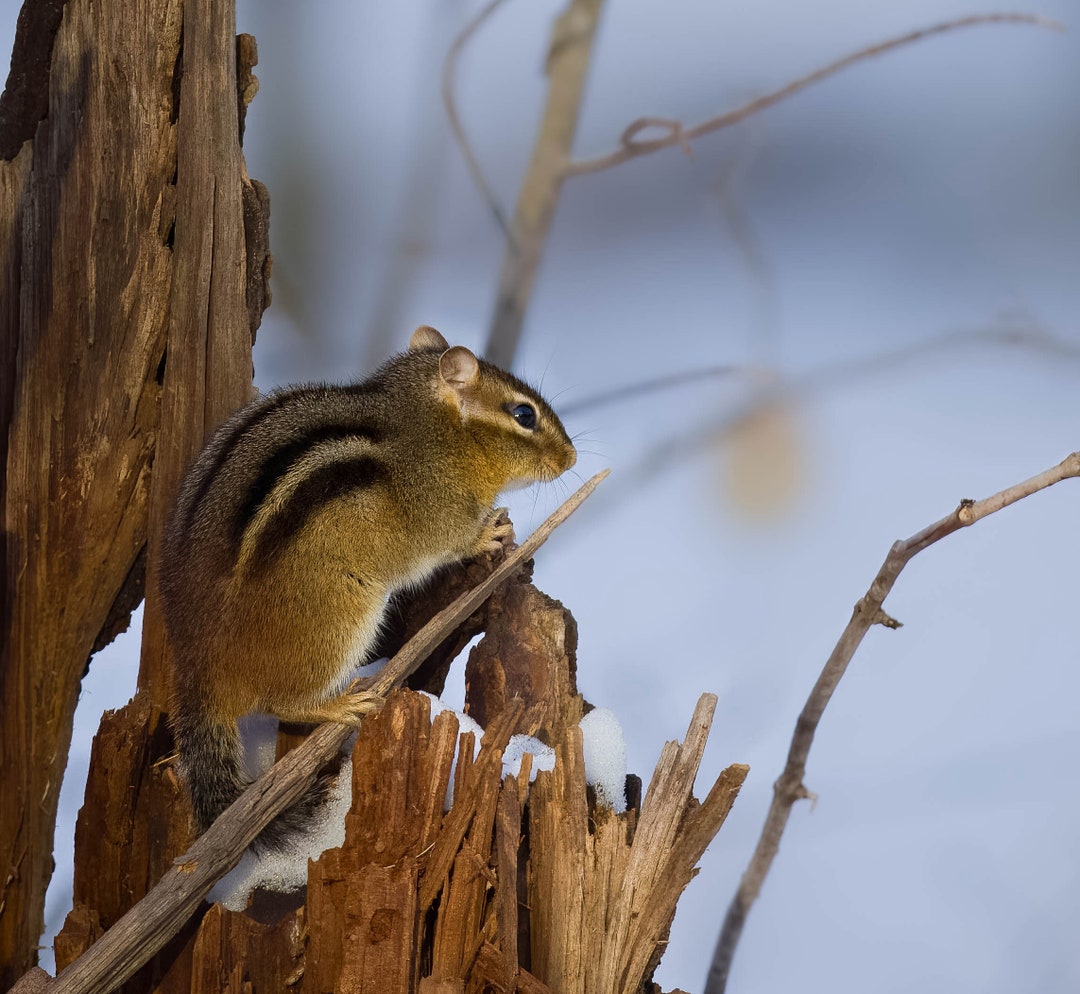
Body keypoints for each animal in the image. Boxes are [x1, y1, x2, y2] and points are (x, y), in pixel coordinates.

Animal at [160, 325, 576, 848]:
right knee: (280, 702)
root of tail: (197, 666)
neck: (431, 430)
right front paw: (489, 534)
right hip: (339, 617)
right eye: (524, 415)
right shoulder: (440, 514)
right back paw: (341, 703)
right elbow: (455, 541)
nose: (572, 457)